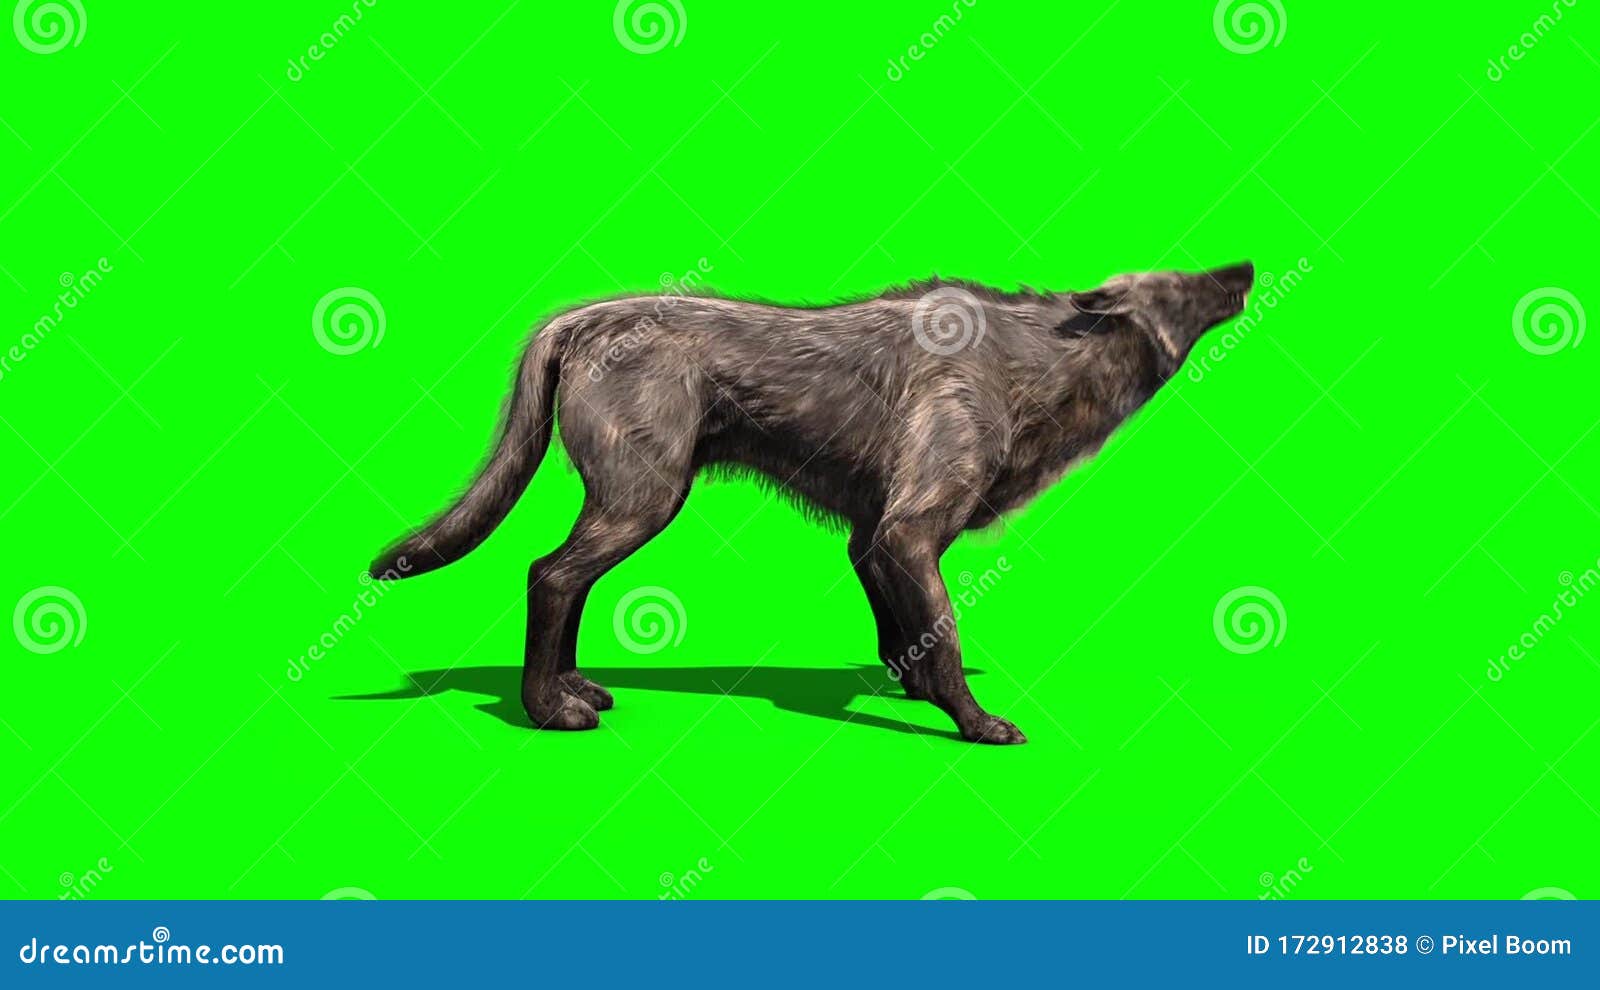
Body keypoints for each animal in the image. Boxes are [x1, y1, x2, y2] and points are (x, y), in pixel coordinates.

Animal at [370, 262, 1254, 744]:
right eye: (1188, 284)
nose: (1245, 266)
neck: (1038, 363)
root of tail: (582, 316)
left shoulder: (872, 537)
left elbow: (906, 637)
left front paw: (919, 692)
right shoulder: (907, 531)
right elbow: (942, 636)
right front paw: (975, 725)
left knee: (566, 580)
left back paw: (574, 688)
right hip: (643, 500)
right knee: (549, 575)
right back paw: (548, 710)